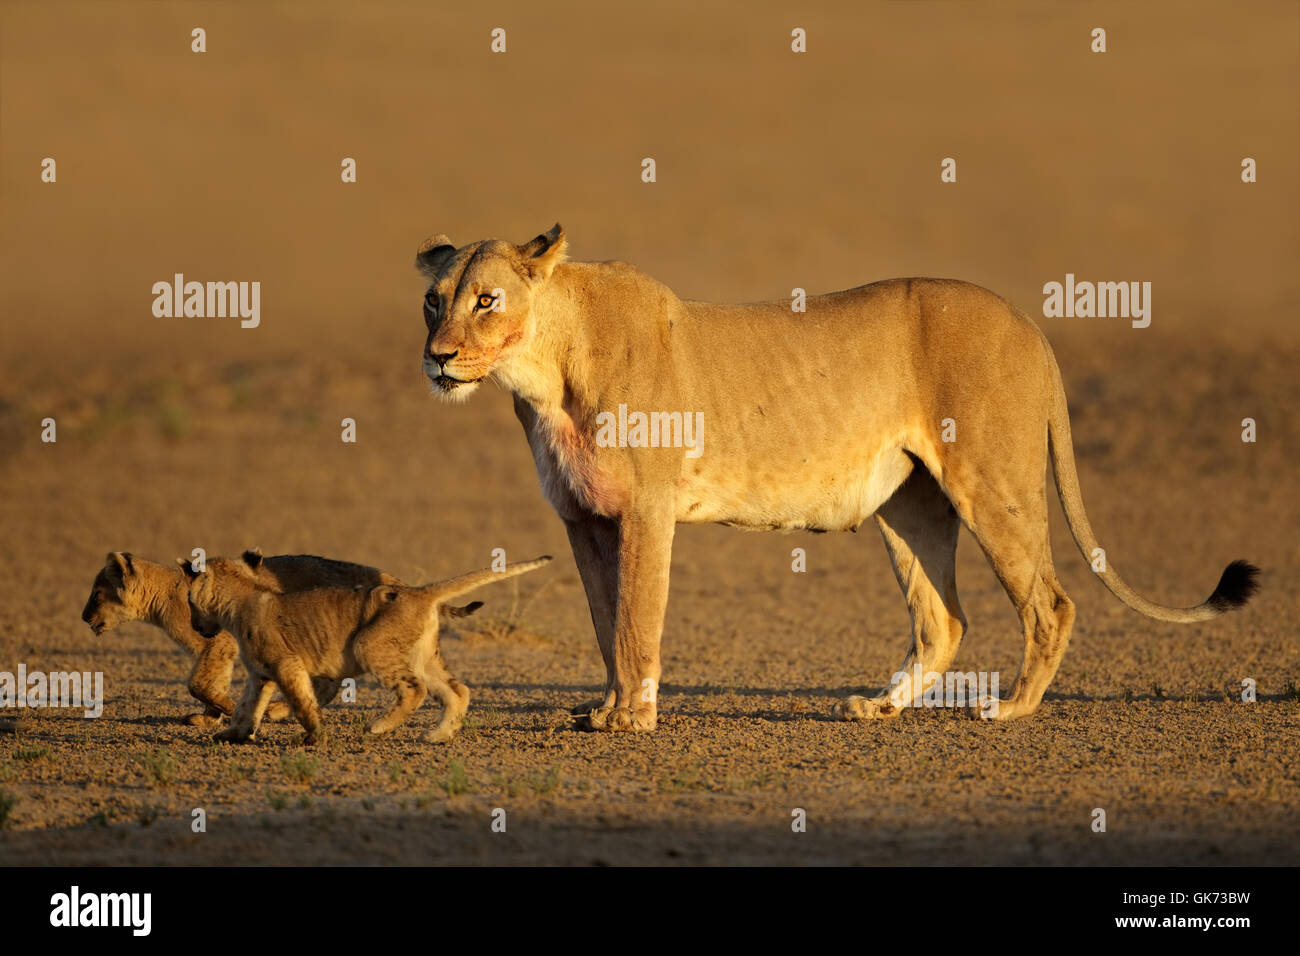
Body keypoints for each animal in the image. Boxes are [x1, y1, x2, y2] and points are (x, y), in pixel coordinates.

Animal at [82, 551, 474, 726]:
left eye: (97, 594)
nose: (84, 617)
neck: (164, 593)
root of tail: (394, 581)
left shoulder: (218, 641)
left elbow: (198, 683)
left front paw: (224, 709)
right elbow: (208, 683)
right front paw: (210, 717)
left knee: (327, 685)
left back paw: (278, 711)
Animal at [181, 550, 552, 745]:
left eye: (188, 599)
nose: (195, 625)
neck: (243, 595)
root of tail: (418, 591)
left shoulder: (286, 664)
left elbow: (302, 702)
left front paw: (314, 736)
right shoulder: (261, 673)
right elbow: (247, 706)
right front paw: (231, 734)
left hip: (368, 645)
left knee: (414, 690)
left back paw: (378, 727)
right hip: (423, 655)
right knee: (457, 690)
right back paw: (437, 735)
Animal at [413, 223, 1260, 732]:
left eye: (487, 299)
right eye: (431, 300)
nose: (438, 357)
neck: (544, 373)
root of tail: (1028, 323)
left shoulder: (647, 511)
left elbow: (635, 622)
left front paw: (632, 720)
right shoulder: (584, 518)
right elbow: (602, 621)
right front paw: (605, 710)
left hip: (993, 482)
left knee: (1051, 602)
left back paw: (1010, 708)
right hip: (910, 506)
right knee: (944, 619)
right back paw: (880, 707)